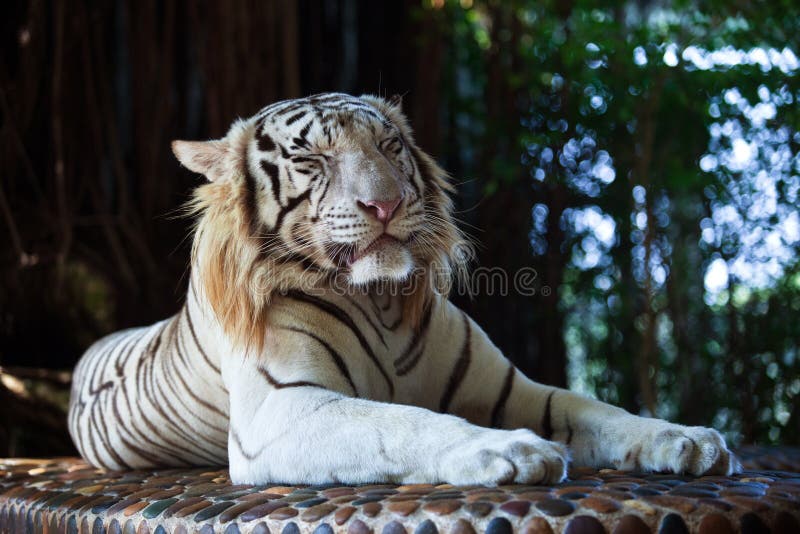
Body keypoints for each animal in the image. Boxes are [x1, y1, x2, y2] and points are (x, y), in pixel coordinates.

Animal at [68, 92, 739, 485]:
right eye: (311, 159)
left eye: (389, 146)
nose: (385, 204)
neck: (380, 301)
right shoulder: (283, 408)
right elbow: (400, 422)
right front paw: (511, 451)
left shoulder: (514, 389)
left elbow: (599, 410)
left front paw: (684, 438)